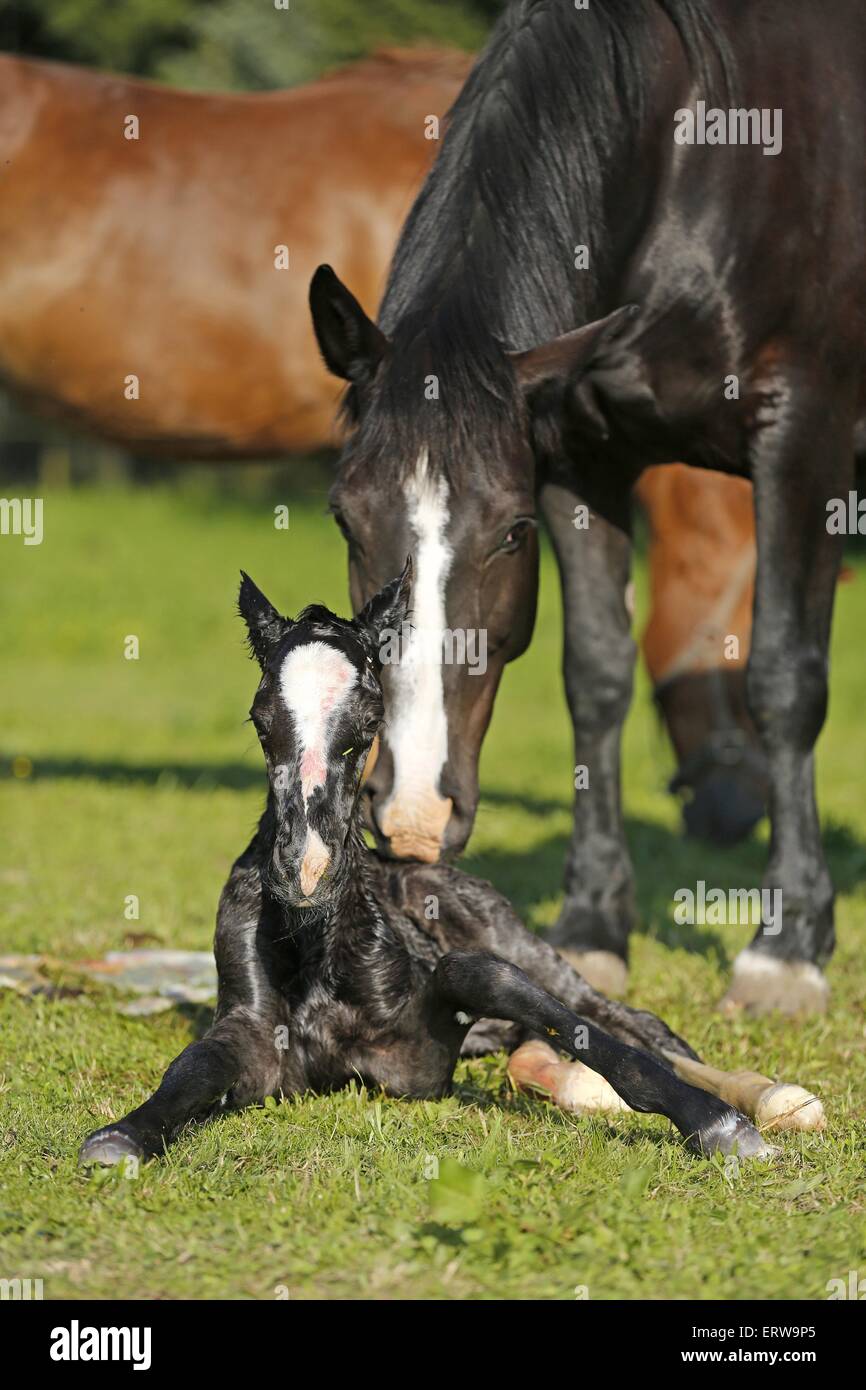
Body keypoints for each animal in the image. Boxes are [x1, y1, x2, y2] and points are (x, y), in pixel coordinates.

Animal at [79, 565, 824, 1169]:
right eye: (263, 721)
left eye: (368, 721)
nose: (305, 874)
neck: (319, 942)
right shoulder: (256, 1037)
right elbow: (194, 1067)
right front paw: (119, 1137)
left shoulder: (437, 1037)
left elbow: (520, 996)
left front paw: (721, 1127)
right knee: (536, 1050)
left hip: (530, 947)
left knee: (634, 1023)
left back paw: (776, 1098)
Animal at [310, 0, 866, 1015]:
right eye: (345, 521)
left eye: (510, 532)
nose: (412, 815)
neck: (699, 149)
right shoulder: (586, 457)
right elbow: (597, 678)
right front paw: (596, 923)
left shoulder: (804, 438)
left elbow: (783, 679)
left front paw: (787, 946)